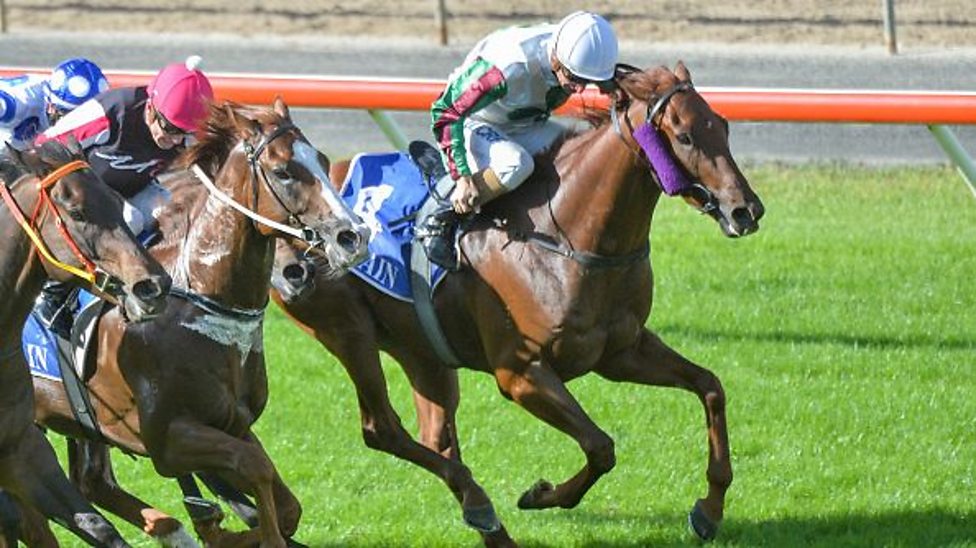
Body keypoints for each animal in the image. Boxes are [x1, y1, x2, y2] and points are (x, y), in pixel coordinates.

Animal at [27, 97, 370, 548]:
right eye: (283, 171)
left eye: (324, 161)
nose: (353, 237)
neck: (199, 301)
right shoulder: (168, 439)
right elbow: (254, 469)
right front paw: (219, 527)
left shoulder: (233, 424)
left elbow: (285, 507)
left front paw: (220, 525)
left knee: (92, 483)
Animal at [270, 62, 764, 545]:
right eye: (683, 135)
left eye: (722, 125)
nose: (745, 210)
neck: (568, 236)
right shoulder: (521, 373)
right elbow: (601, 447)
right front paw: (543, 494)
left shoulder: (621, 351)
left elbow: (710, 386)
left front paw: (709, 510)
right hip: (346, 330)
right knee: (382, 429)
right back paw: (482, 506)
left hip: (421, 349)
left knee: (436, 436)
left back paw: (486, 520)